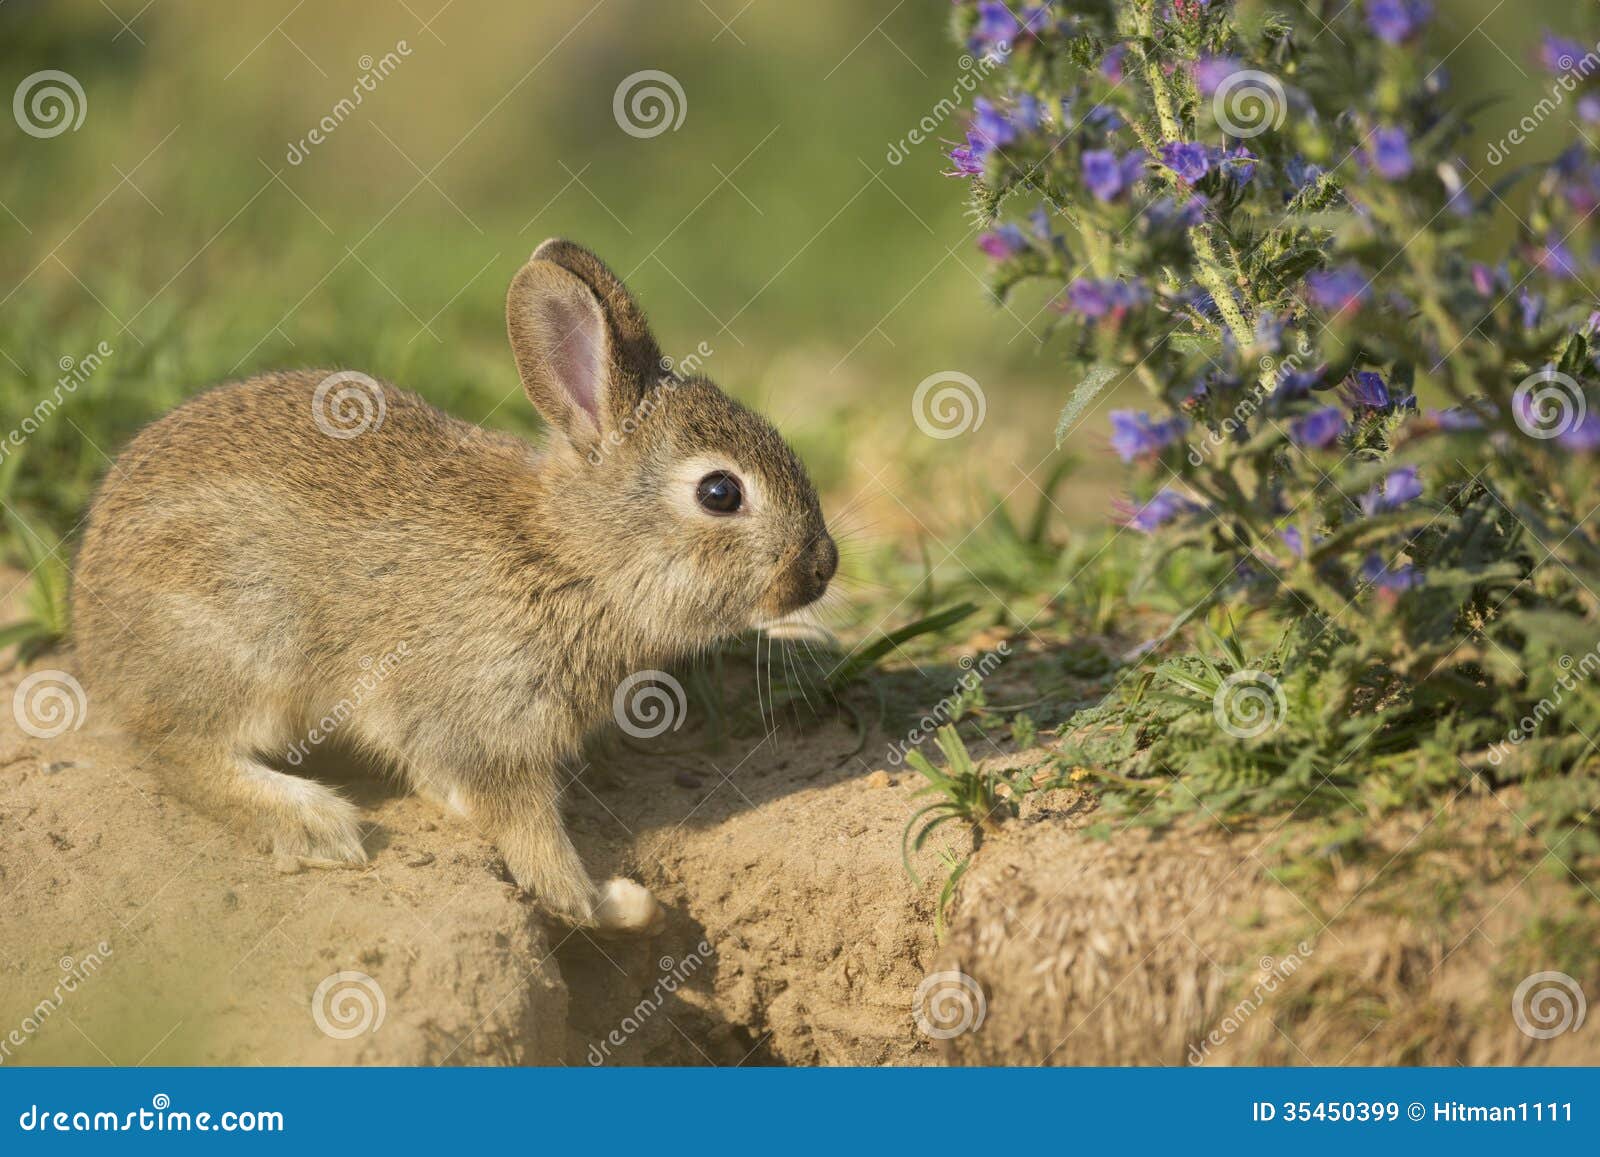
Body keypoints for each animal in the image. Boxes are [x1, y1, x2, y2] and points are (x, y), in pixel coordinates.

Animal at [71, 239, 838, 934]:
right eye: (720, 492)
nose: (822, 565)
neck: (570, 556)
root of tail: (93, 633)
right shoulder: (491, 726)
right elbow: (531, 839)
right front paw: (614, 904)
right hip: (242, 635)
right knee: (176, 747)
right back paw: (316, 821)